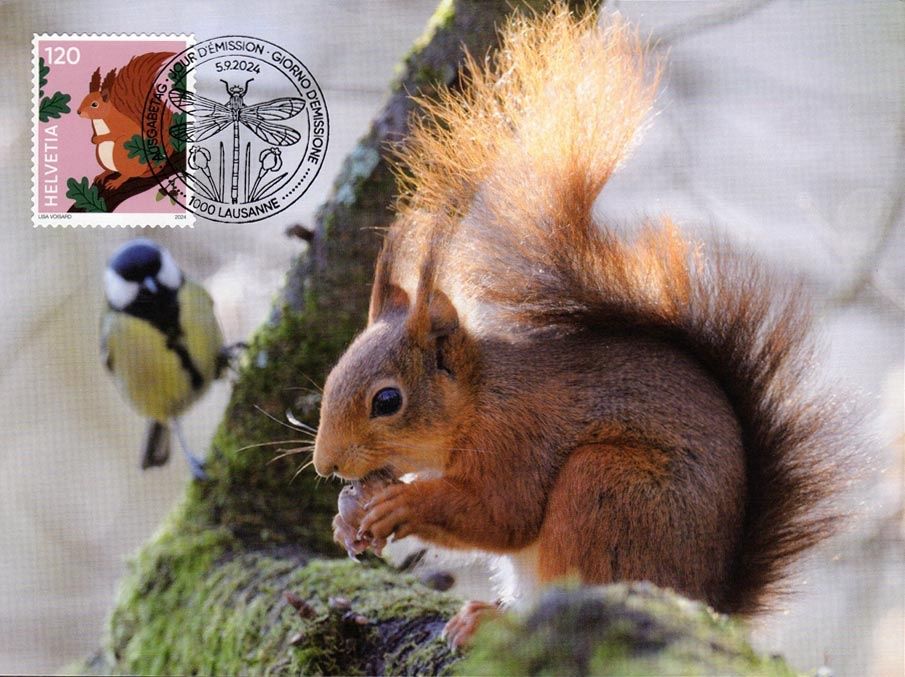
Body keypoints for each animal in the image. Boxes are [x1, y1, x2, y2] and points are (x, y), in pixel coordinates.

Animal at [77, 52, 174, 190]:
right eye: (85, 98)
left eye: (94, 104)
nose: (78, 112)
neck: (99, 121)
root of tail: (144, 169)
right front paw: (93, 137)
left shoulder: (118, 127)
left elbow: (114, 134)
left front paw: (97, 139)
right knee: (111, 170)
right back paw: (103, 174)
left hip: (121, 148)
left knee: (127, 174)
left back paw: (116, 182)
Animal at [312, 4, 849, 647]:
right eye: (330, 379)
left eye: (387, 400)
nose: (325, 466)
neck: (478, 401)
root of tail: (704, 603)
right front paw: (347, 524)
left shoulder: (517, 439)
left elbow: (502, 513)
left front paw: (400, 506)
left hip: (607, 491)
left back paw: (500, 620)